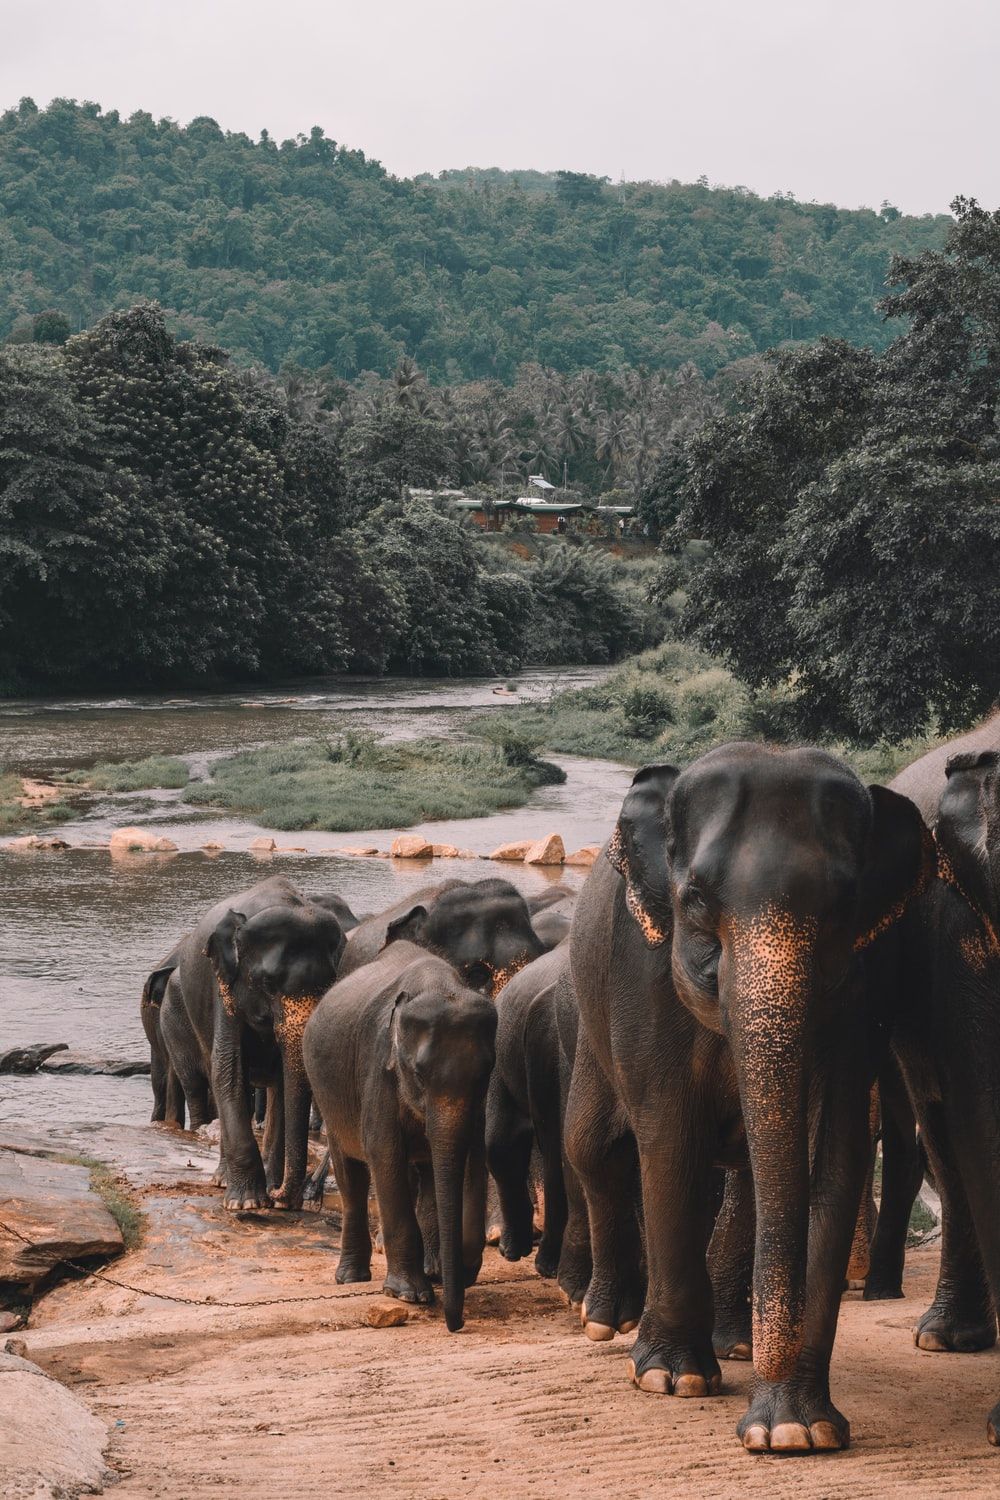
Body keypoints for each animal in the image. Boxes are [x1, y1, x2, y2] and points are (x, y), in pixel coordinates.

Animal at [170, 875, 346, 1210]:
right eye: (268, 983)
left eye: (330, 984)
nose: (280, 1196)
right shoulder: (223, 988)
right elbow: (228, 1070)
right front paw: (248, 1203)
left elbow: (284, 1082)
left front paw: (269, 1194)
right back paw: (223, 1180)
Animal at [303, 940, 497, 1332]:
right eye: (418, 1074)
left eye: (485, 1073)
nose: (456, 1324)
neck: (439, 985)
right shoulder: (378, 1068)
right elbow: (384, 1154)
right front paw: (410, 1294)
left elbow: (469, 1157)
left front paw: (454, 1273)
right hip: (329, 1095)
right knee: (352, 1176)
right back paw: (351, 1278)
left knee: (423, 1174)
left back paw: (431, 1269)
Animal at [565, 743, 930, 1454]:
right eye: (695, 899)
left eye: (845, 904)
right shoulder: (640, 971)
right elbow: (670, 1140)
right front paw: (673, 1380)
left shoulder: (865, 986)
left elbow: (834, 1155)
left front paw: (796, 1430)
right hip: (590, 1022)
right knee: (594, 1150)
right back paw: (608, 1323)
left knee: (748, 1181)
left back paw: (734, 1344)